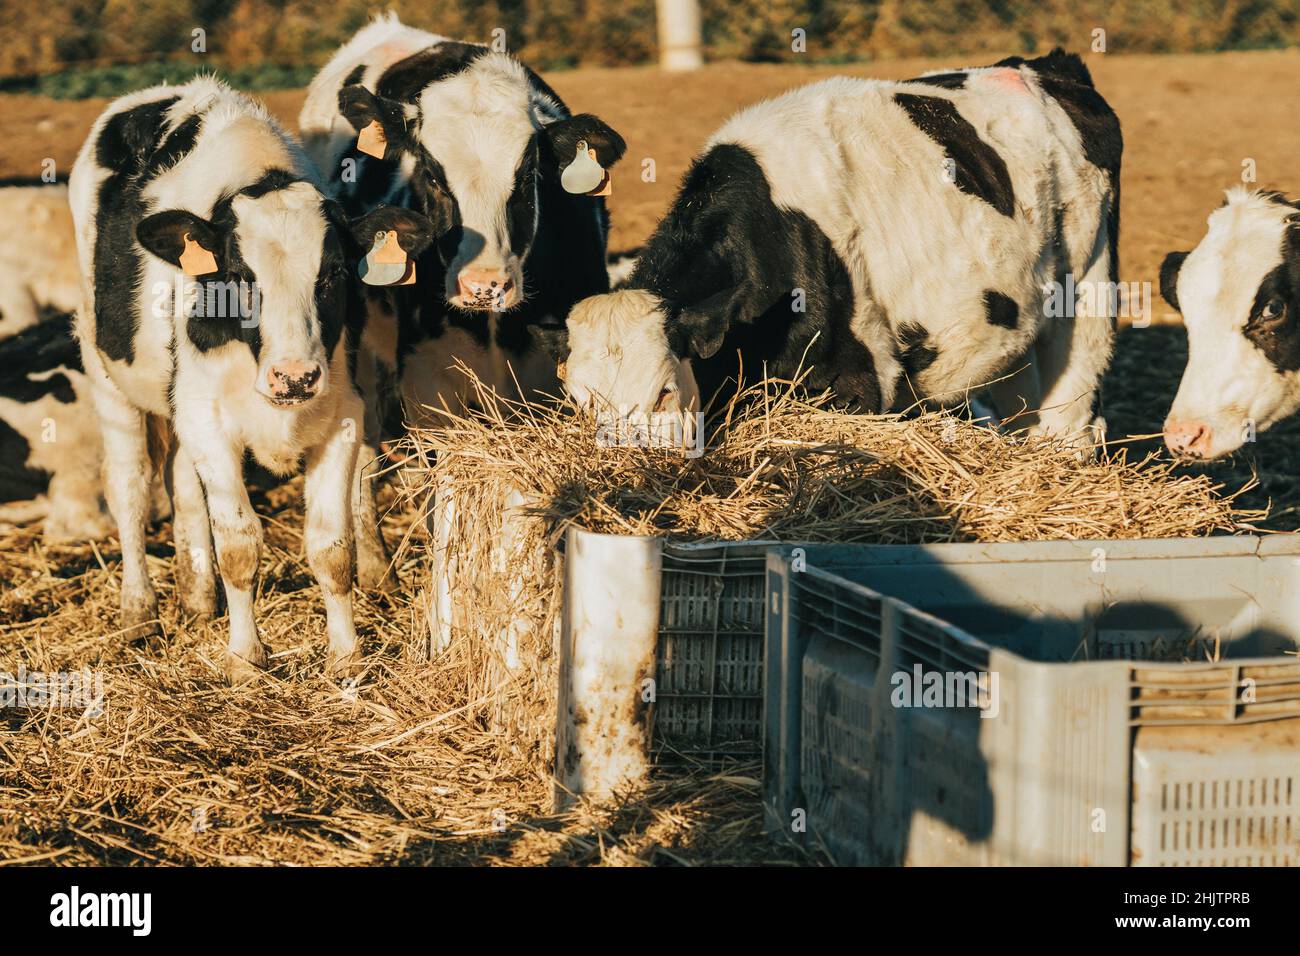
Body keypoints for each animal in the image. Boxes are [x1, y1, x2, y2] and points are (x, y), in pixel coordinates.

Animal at [68, 77, 439, 682]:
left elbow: (331, 546)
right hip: (107, 375)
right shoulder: (209, 423)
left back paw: (197, 598)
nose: (295, 377)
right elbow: (240, 545)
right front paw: (246, 657)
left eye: (334, 273)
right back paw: (139, 612)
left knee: (182, 484)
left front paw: (346, 653)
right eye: (240, 276)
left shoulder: (341, 419)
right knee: (130, 489)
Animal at [560, 50, 1122, 454]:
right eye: (581, 403)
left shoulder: (858, 379)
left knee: (1071, 422)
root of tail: (1044, 65)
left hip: (1086, 287)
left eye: (662, 392)